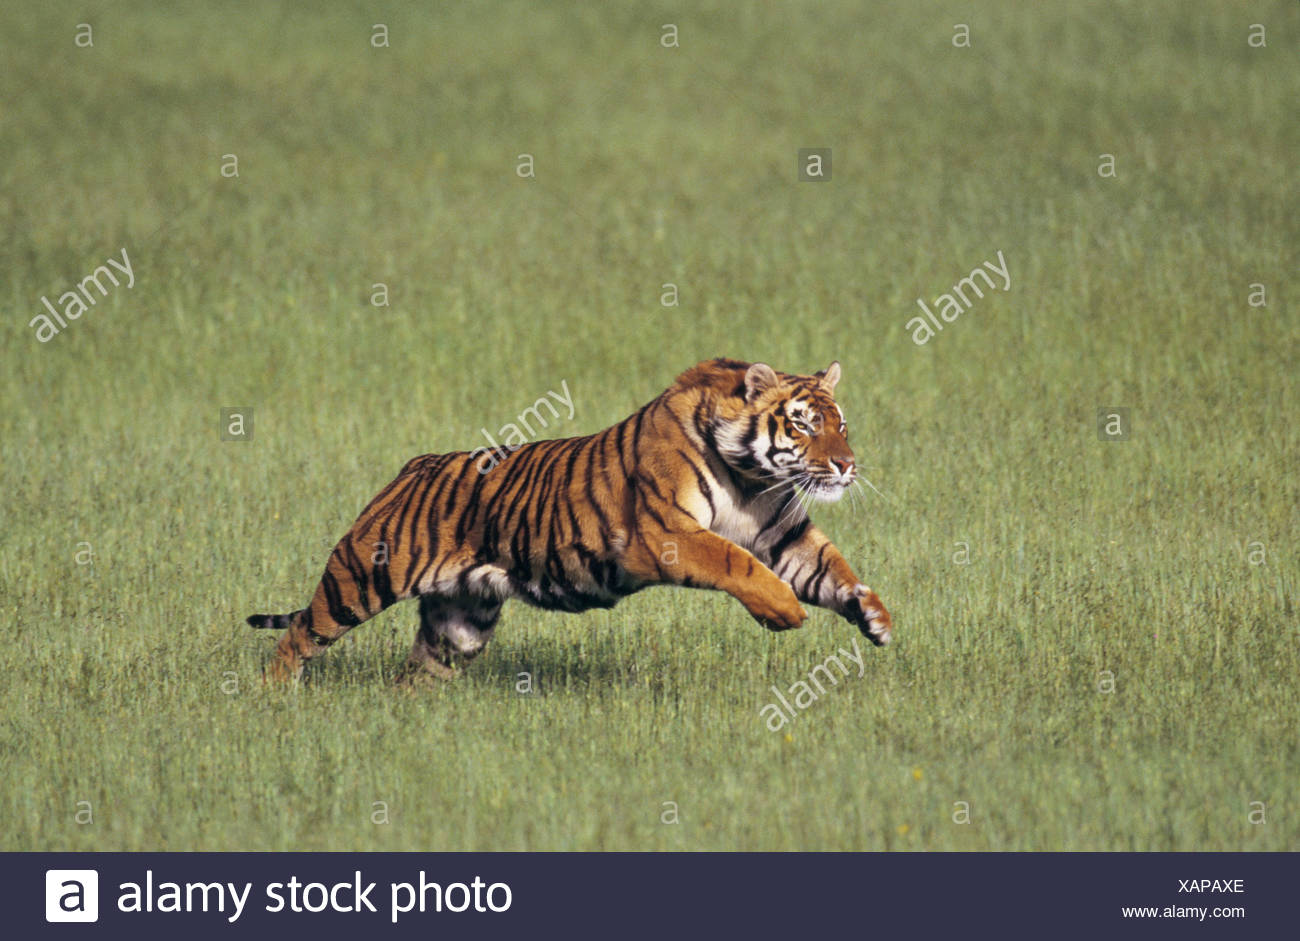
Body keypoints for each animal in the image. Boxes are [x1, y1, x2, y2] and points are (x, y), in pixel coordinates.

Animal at [247, 358, 892, 684]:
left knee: (417, 675)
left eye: (842, 425)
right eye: (804, 424)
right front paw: (782, 611)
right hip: (360, 578)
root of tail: (412, 465)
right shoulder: (665, 535)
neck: (751, 476)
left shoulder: (782, 531)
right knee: (298, 636)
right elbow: (735, 561)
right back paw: (275, 700)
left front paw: (874, 615)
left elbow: (830, 566)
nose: (847, 465)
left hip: (461, 624)